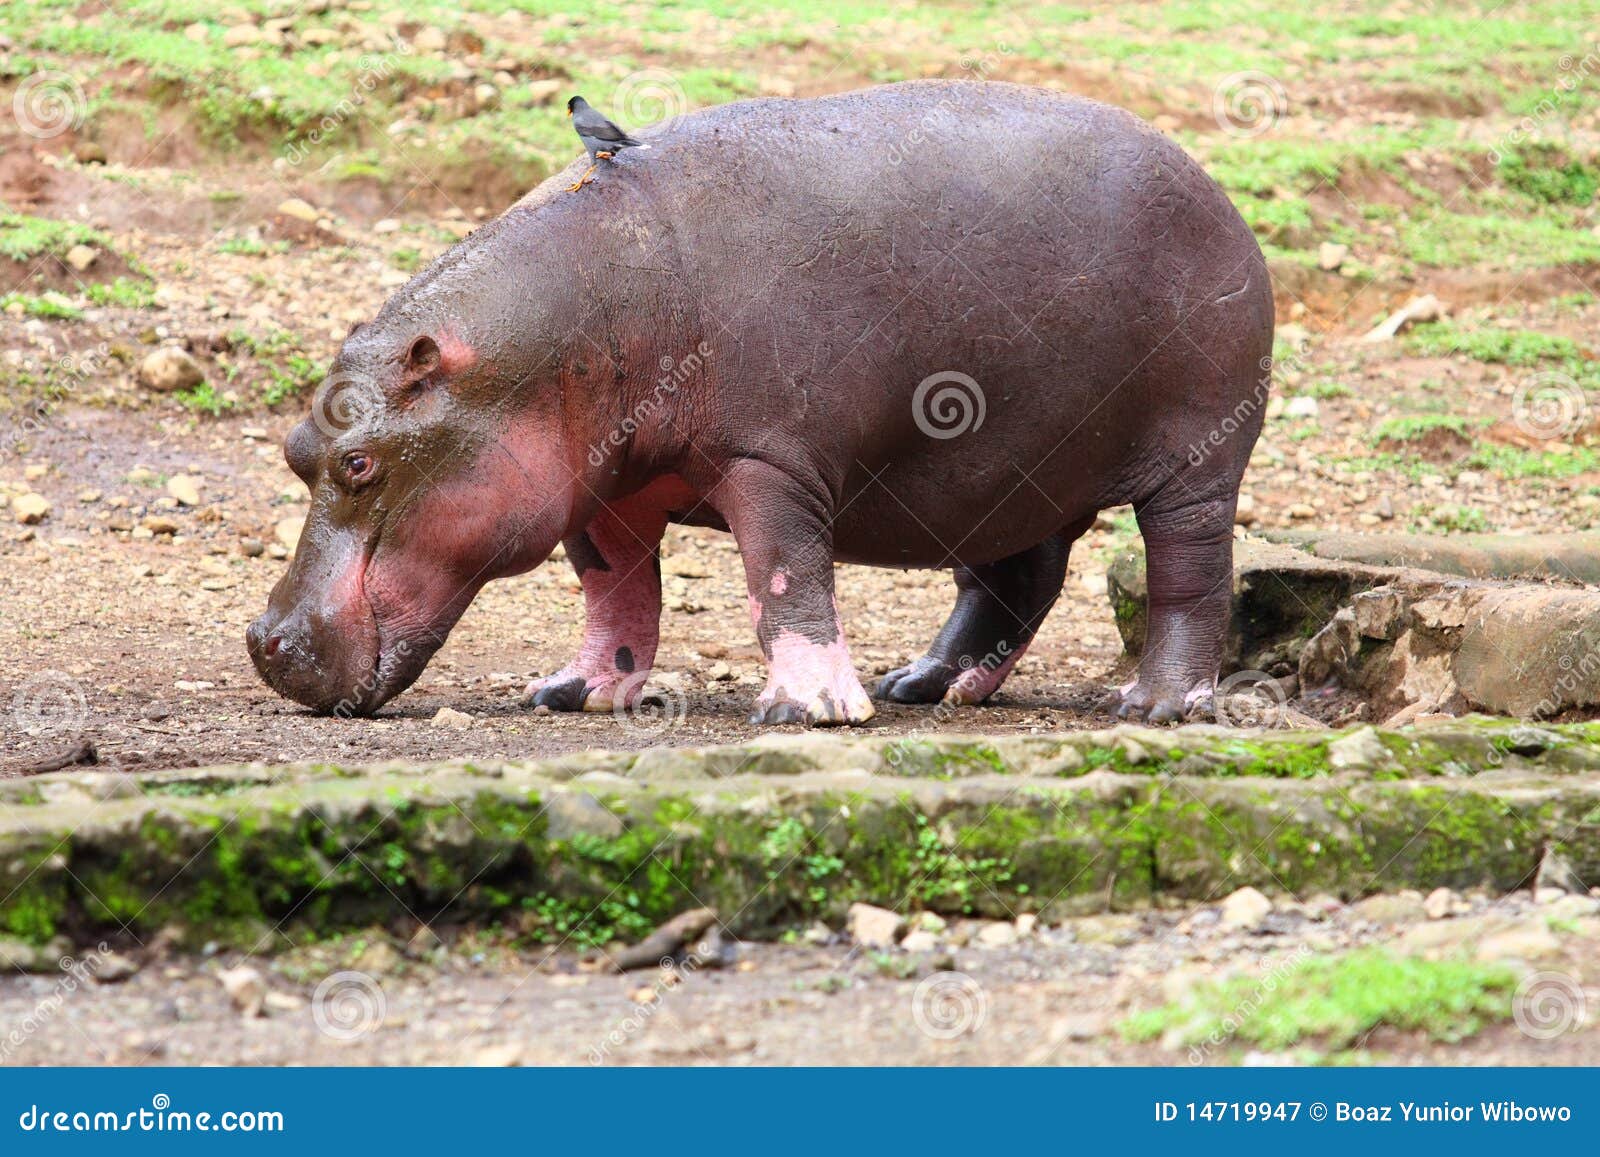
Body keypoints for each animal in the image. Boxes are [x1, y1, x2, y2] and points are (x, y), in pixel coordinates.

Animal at [247, 80, 1273, 727]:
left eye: (360, 463)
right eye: (297, 448)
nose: (265, 640)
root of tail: (1216, 186)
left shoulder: (770, 459)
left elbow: (783, 576)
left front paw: (805, 709)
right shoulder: (605, 488)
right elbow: (618, 591)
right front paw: (578, 693)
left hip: (1194, 461)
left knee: (1187, 573)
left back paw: (1157, 705)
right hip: (1010, 467)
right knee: (1013, 579)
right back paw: (923, 685)